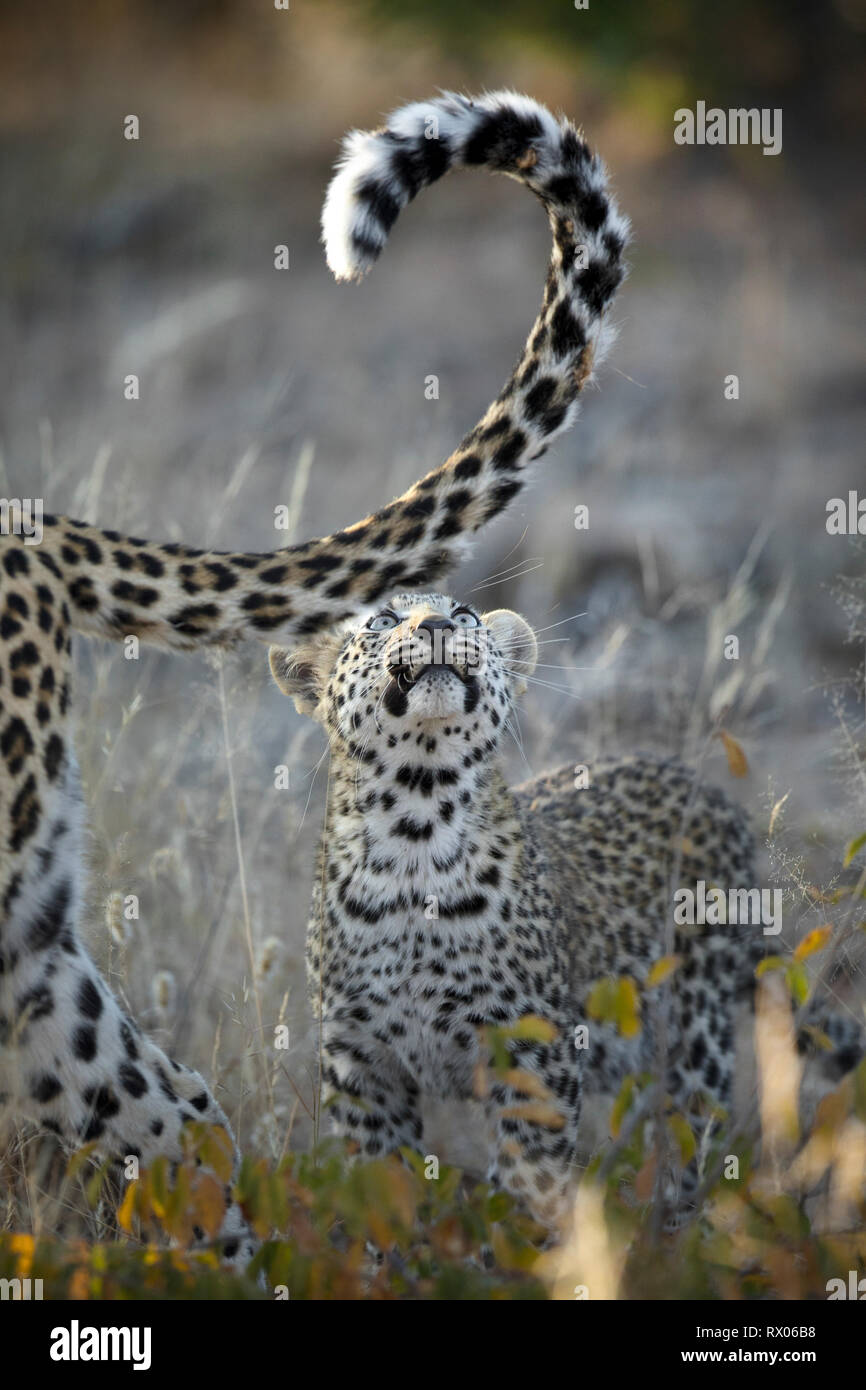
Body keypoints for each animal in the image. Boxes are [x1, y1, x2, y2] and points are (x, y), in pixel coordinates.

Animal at [0, 90, 628, 1260]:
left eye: (459, 613)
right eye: (382, 620)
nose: (433, 620)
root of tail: (34, 527)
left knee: (181, 1114)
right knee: (172, 1114)